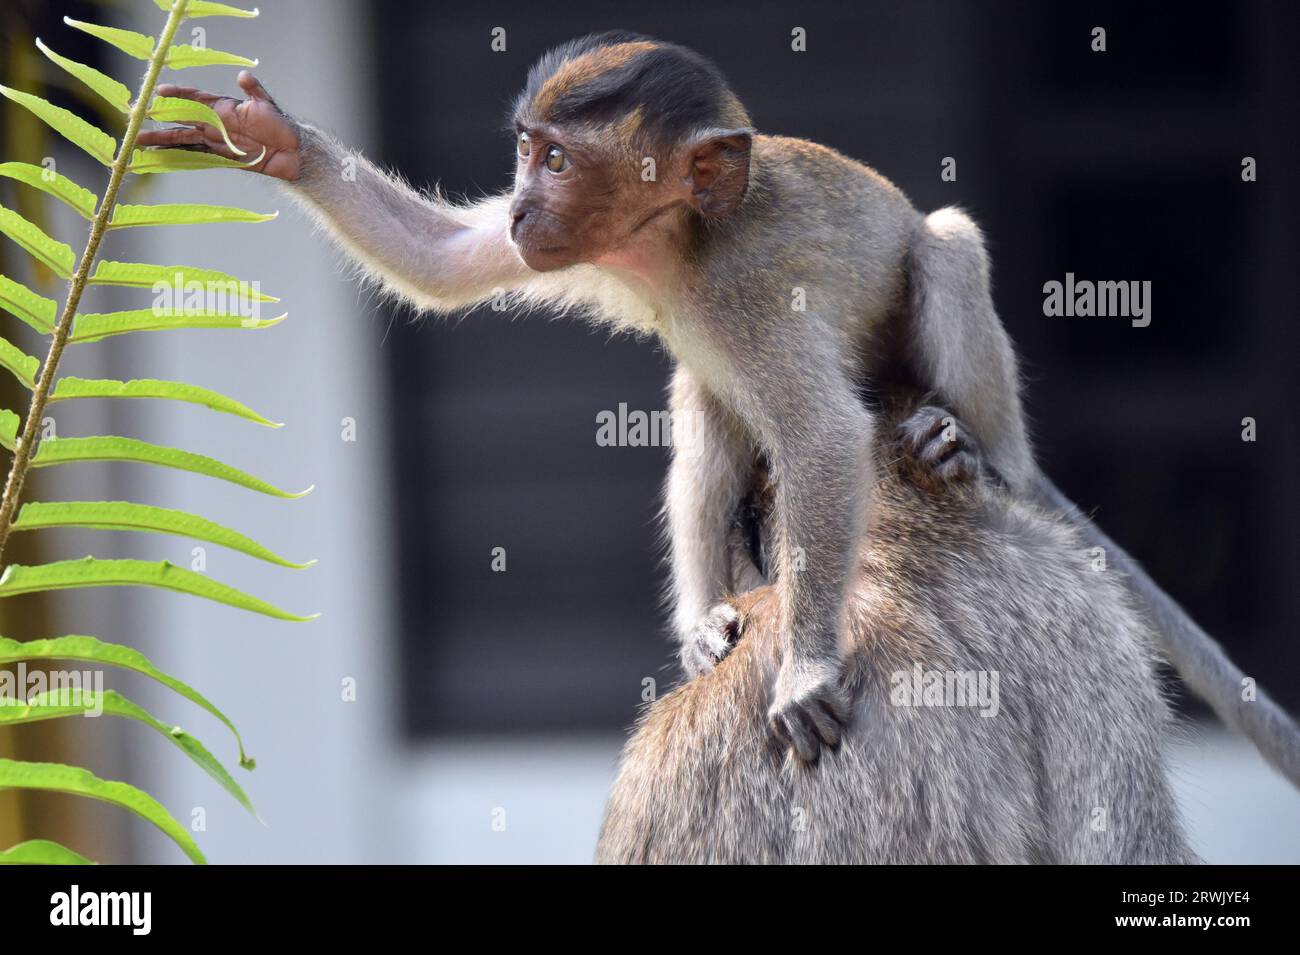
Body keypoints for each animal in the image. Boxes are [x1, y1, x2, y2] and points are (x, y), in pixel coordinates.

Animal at [135, 33, 1300, 781]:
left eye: (553, 157)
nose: (522, 207)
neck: (675, 244)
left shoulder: (743, 293)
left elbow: (825, 435)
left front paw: (810, 663)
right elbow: (446, 262)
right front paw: (270, 137)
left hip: (961, 392)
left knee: (946, 246)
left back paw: (969, 449)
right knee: (700, 411)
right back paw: (709, 619)